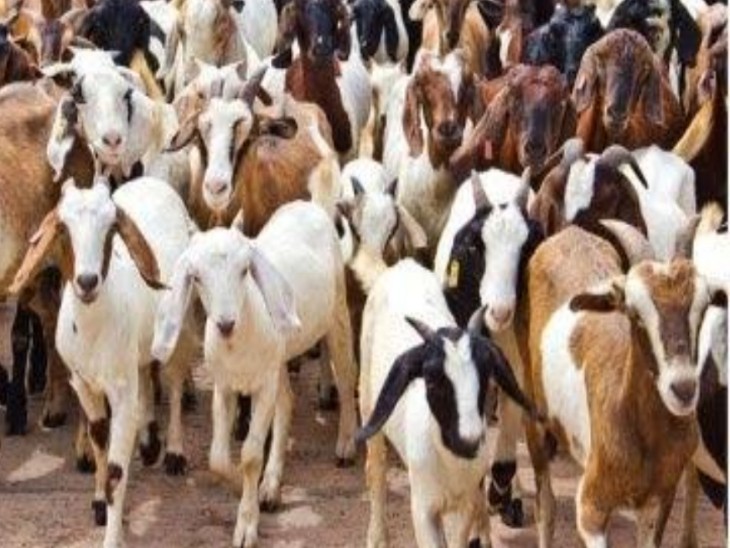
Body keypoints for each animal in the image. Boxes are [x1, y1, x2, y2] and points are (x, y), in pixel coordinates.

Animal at [9, 176, 196, 548]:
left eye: (111, 228)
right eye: (63, 227)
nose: (87, 281)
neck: (94, 329)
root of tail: (153, 180)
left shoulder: (120, 393)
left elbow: (116, 470)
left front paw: (112, 534)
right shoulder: (83, 384)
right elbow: (98, 438)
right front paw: (98, 502)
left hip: (176, 330)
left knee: (174, 384)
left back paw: (173, 452)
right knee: (146, 378)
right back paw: (149, 443)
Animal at [152, 200, 358, 547]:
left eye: (244, 270)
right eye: (196, 277)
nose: (225, 323)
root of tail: (308, 204)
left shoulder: (262, 386)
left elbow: (250, 454)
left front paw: (247, 522)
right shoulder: (225, 386)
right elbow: (218, 458)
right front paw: (240, 484)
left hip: (337, 313)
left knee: (345, 379)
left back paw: (346, 444)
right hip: (279, 359)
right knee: (287, 400)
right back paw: (271, 485)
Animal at [520, 217, 718, 547]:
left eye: (701, 308)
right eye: (634, 312)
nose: (683, 388)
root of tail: (568, 233)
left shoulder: (658, 500)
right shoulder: (590, 507)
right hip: (533, 414)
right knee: (545, 507)